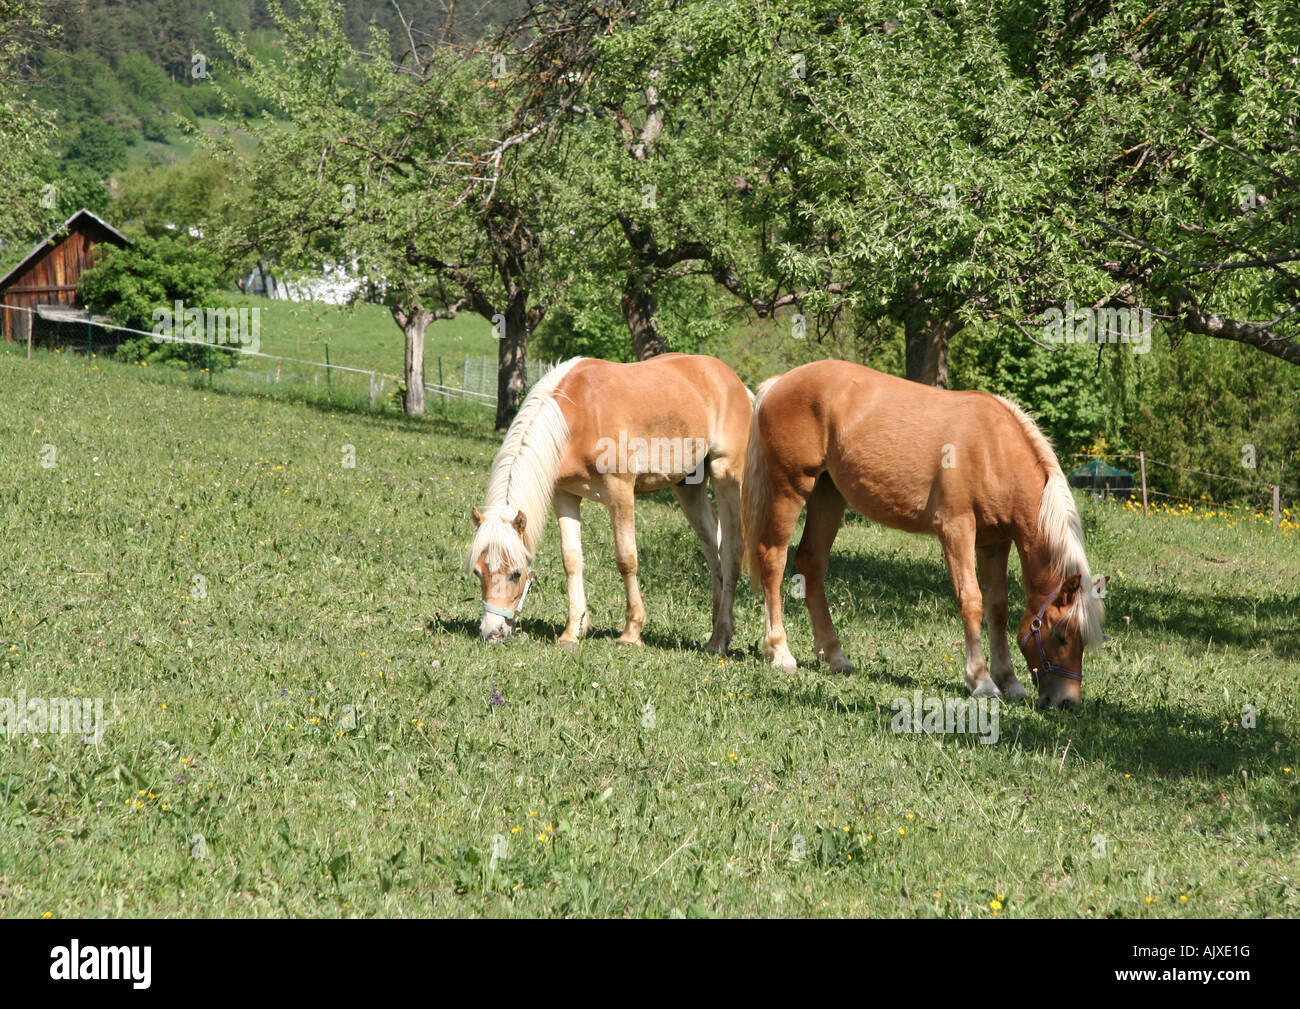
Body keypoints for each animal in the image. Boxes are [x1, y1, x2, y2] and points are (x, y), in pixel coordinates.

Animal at [466, 354, 753, 652]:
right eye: (478, 571)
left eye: (516, 573)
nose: (491, 632)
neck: (579, 414)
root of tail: (737, 384)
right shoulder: (565, 495)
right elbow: (571, 559)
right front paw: (572, 631)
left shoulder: (620, 492)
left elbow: (626, 559)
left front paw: (631, 632)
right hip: (689, 488)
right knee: (712, 546)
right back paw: (718, 628)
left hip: (725, 476)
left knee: (731, 550)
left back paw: (719, 639)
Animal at [741, 360, 1105, 709]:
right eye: (1060, 635)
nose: (1067, 701)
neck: (993, 451)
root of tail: (779, 383)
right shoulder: (956, 529)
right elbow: (971, 600)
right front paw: (982, 681)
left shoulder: (994, 542)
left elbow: (997, 607)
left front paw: (1010, 681)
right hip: (789, 490)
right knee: (774, 559)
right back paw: (780, 652)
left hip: (829, 494)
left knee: (811, 563)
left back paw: (835, 656)